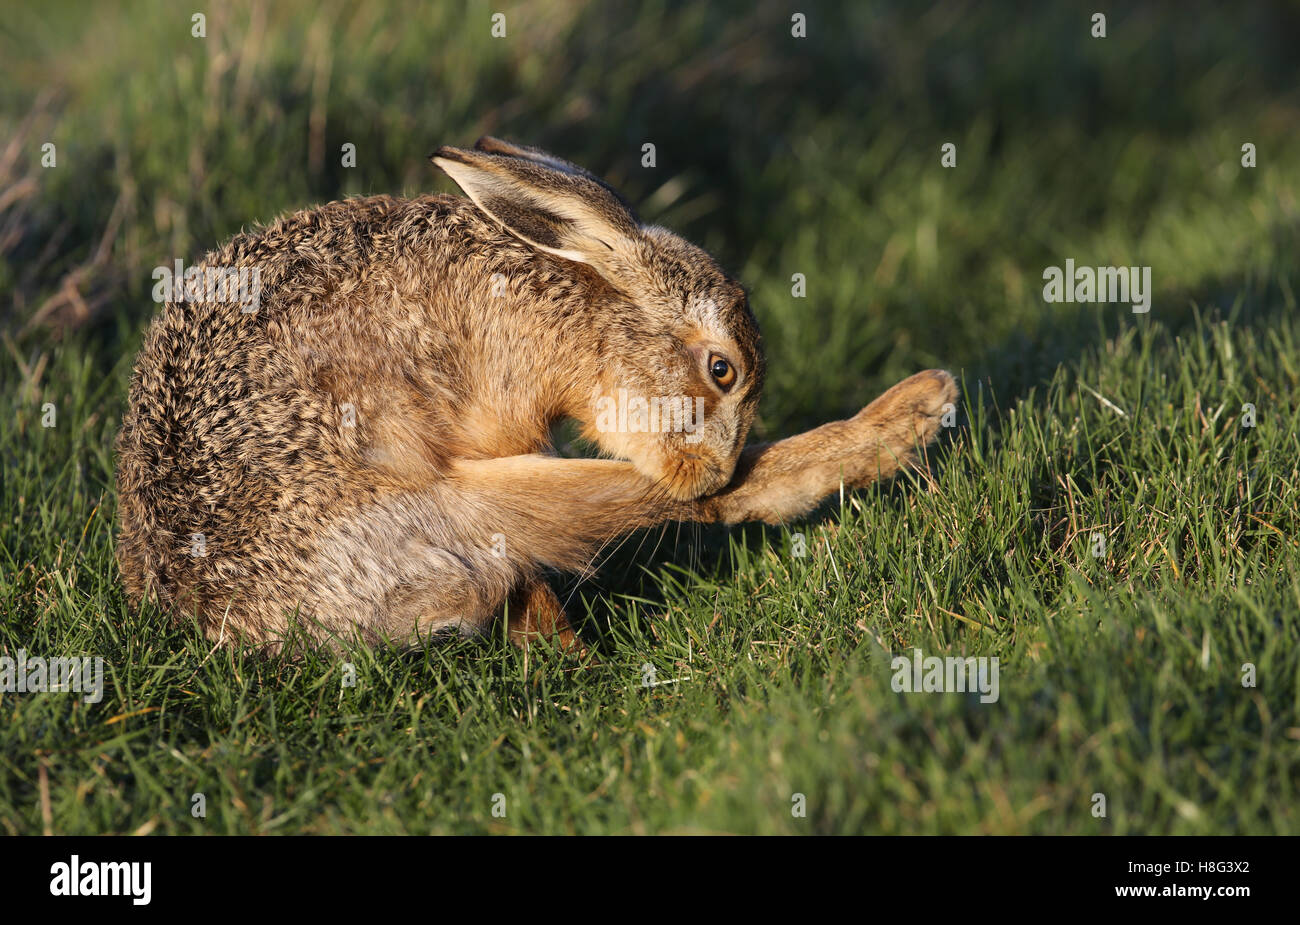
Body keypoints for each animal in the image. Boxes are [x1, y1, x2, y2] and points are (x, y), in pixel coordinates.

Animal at [115, 136, 958, 652]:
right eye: (721, 370)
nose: (709, 467)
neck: (583, 313)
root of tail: (210, 603)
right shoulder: (506, 417)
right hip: (458, 503)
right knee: (671, 507)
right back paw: (912, 413)